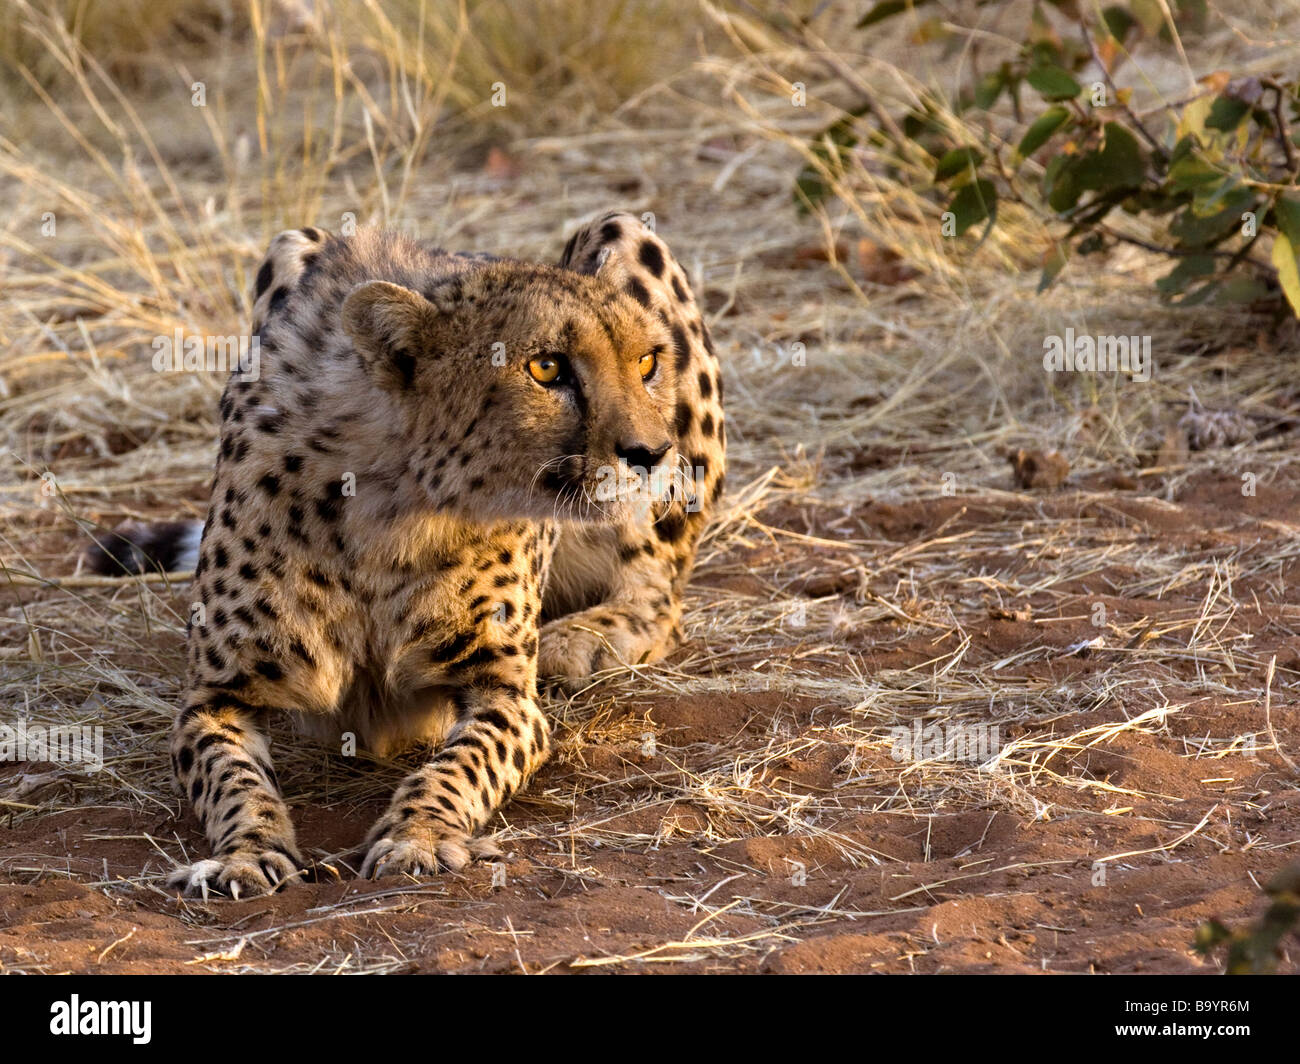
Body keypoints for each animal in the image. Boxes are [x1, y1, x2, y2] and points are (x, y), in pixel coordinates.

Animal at [87, 212, 726, 898]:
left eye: (648, 362)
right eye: (547, 368)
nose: (652, 453)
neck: (394, 503)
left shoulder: (506, 694)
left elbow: (461, 766)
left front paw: (419, 836)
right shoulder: (213, 698)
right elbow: (233, 780)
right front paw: (246, 854)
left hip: (623, 229)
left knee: (661, 590)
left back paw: (587, 635)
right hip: (291, 243)